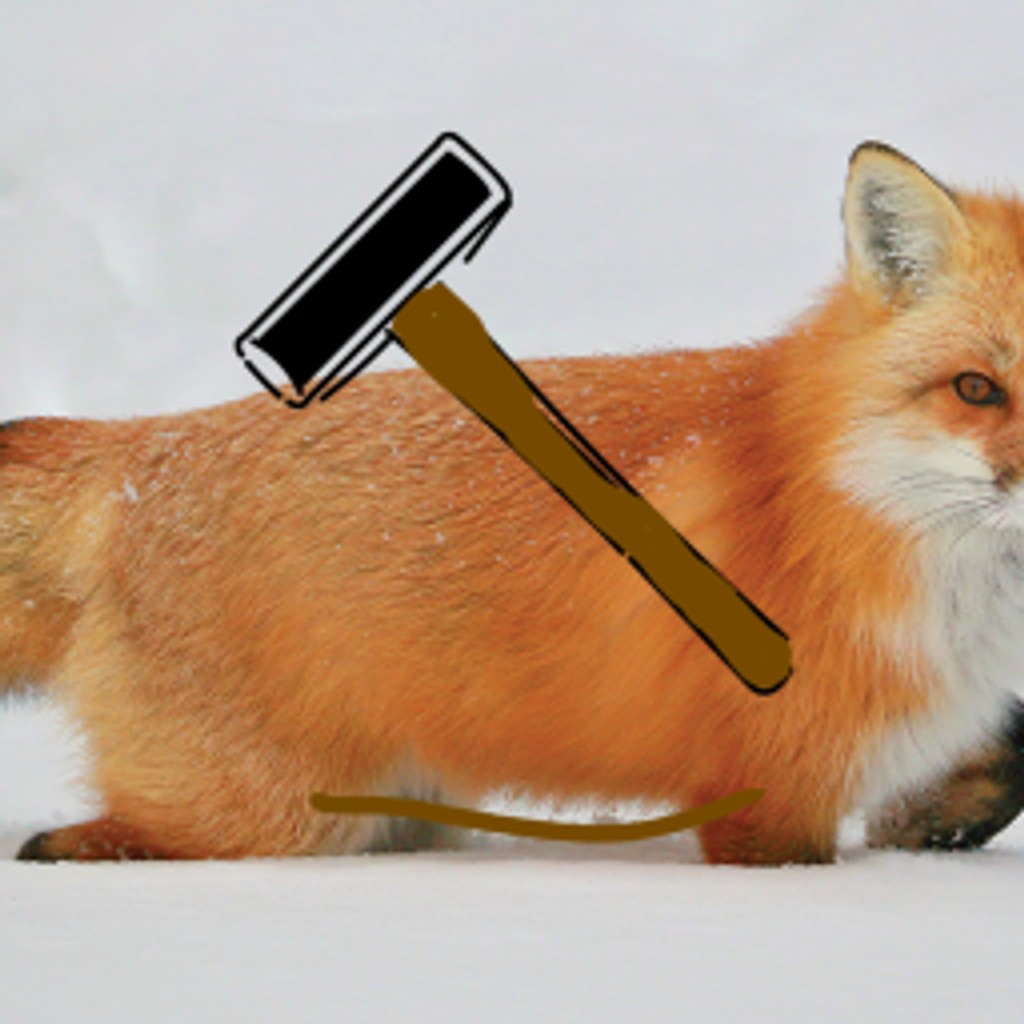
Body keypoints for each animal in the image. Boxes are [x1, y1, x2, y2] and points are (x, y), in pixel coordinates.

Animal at [6, 141, 1024, 865]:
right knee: (112, 839)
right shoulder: (771, 792)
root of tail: (145, 444)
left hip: (401, 811)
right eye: (977, 390)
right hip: (271, 814)